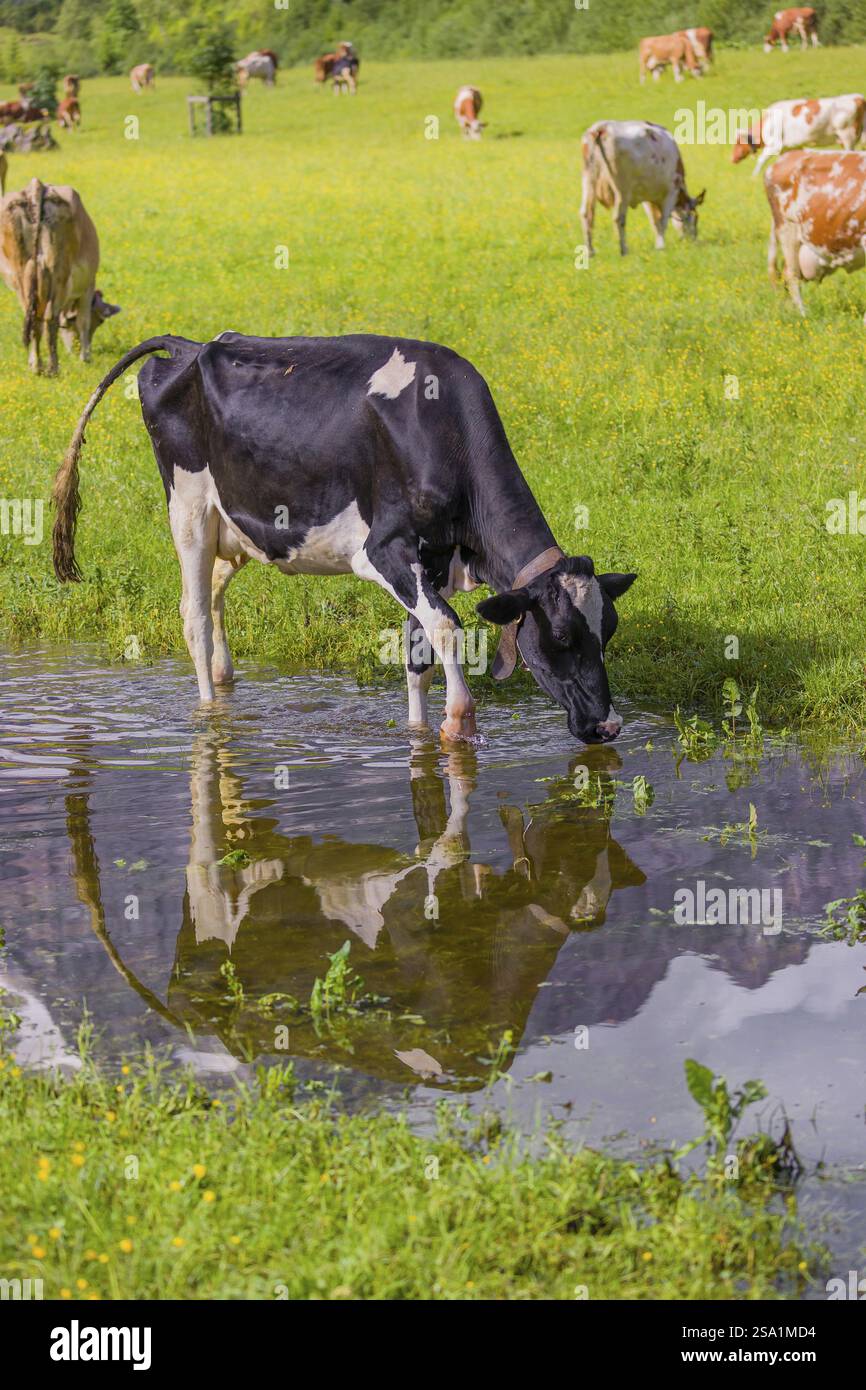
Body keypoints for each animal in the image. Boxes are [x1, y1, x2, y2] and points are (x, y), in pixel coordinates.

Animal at [0, 178, 121, 374]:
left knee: (33, 318)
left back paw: (36, 366)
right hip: (58, 274)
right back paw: (54, 367)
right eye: (100, 322)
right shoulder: (88, 285)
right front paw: (85, 357)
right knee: (50, 320)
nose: (76, 349)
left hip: (22, 276)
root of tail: (37, 185)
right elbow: (83, 320)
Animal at [51, 333, 637, 744]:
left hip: (235, 524)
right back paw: (211, 711)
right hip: (188, 506)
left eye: (607, 631)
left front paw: (418, 734)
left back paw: (225, 678)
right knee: (193, 616)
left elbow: (419, 654)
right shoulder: (384, 550)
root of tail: (187, 345)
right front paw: (459, 722)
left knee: (215, 591)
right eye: (560, 636)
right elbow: (447, 629)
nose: (607, 727)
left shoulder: (433, 558)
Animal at [581, 120, 706, 257]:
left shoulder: (647, 197)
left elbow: (654, 221)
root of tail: (602, 127)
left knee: (586, 214)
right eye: (695, 218)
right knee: (619, 218)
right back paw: (623, 250)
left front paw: (659, 243)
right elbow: (663, 221)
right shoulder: (672, 191)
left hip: (588, 180)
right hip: (622, 190)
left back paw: (590, 252)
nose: (693, 239)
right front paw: (661, 245)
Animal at [732, 95, 866, 177]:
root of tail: (858, 97)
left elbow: (760, 160)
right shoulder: (790, 147)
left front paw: (753, 178)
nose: (732, 158)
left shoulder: (775, 145)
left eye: (738, 142)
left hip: (847, 136)